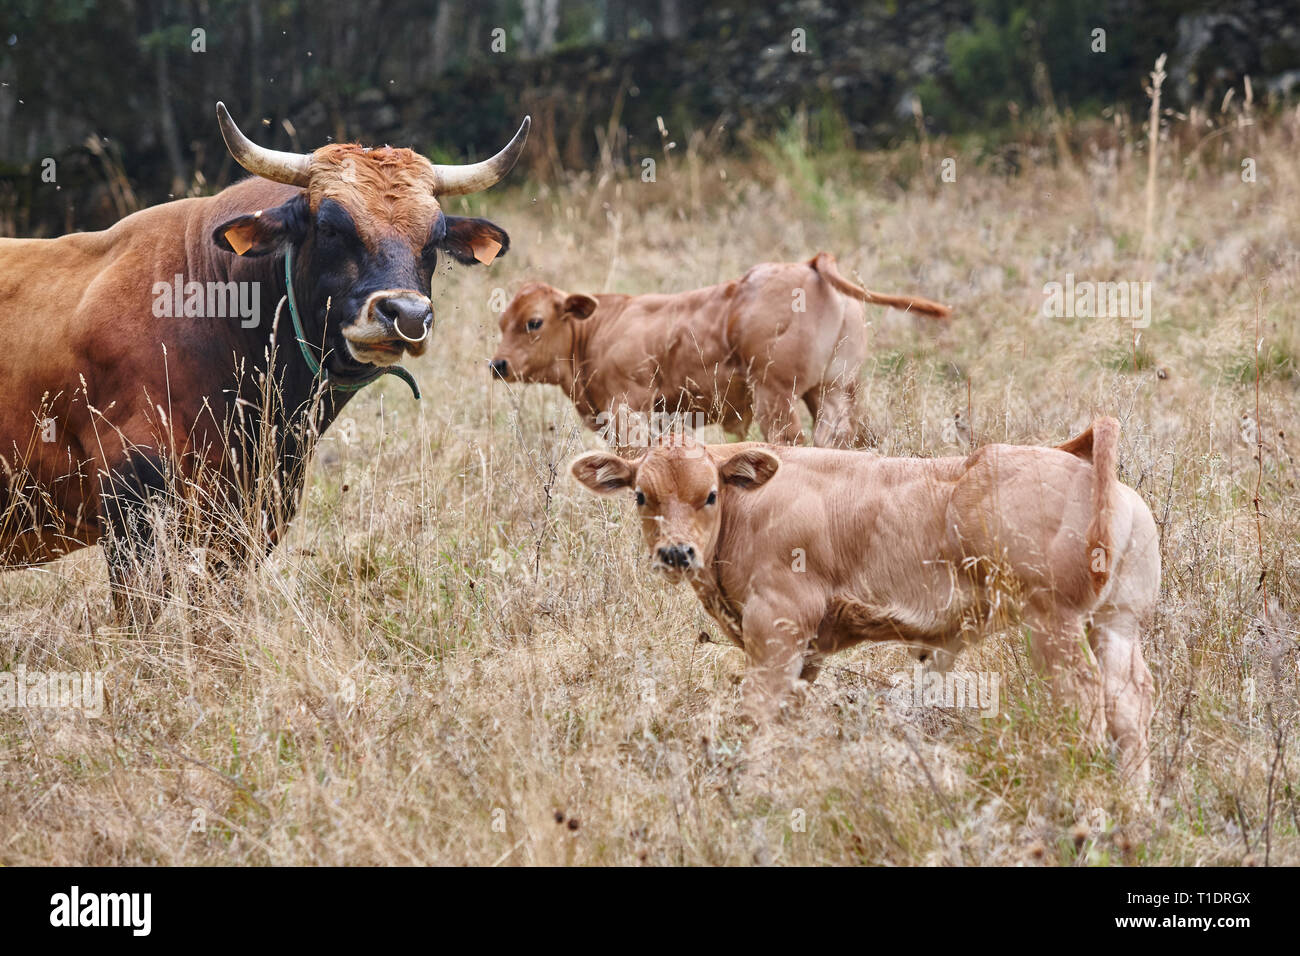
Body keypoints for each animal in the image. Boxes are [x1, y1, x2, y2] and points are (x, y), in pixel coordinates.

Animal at [489, 253, 950, 448]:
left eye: (534, 321)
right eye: (501, 322)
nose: (498, 365)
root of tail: (810, 263)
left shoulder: (628, 409)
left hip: (774, 393)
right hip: (835, 388)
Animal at [569, 417, 1159, 788]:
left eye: (709, 495)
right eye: (641, 495)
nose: (676, 552)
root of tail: (1074, 459)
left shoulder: (776, 627)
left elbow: (757, 713)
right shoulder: (806, 648)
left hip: (1054, 622)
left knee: (1085, 697)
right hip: (1116, 623)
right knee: (1128, 705)